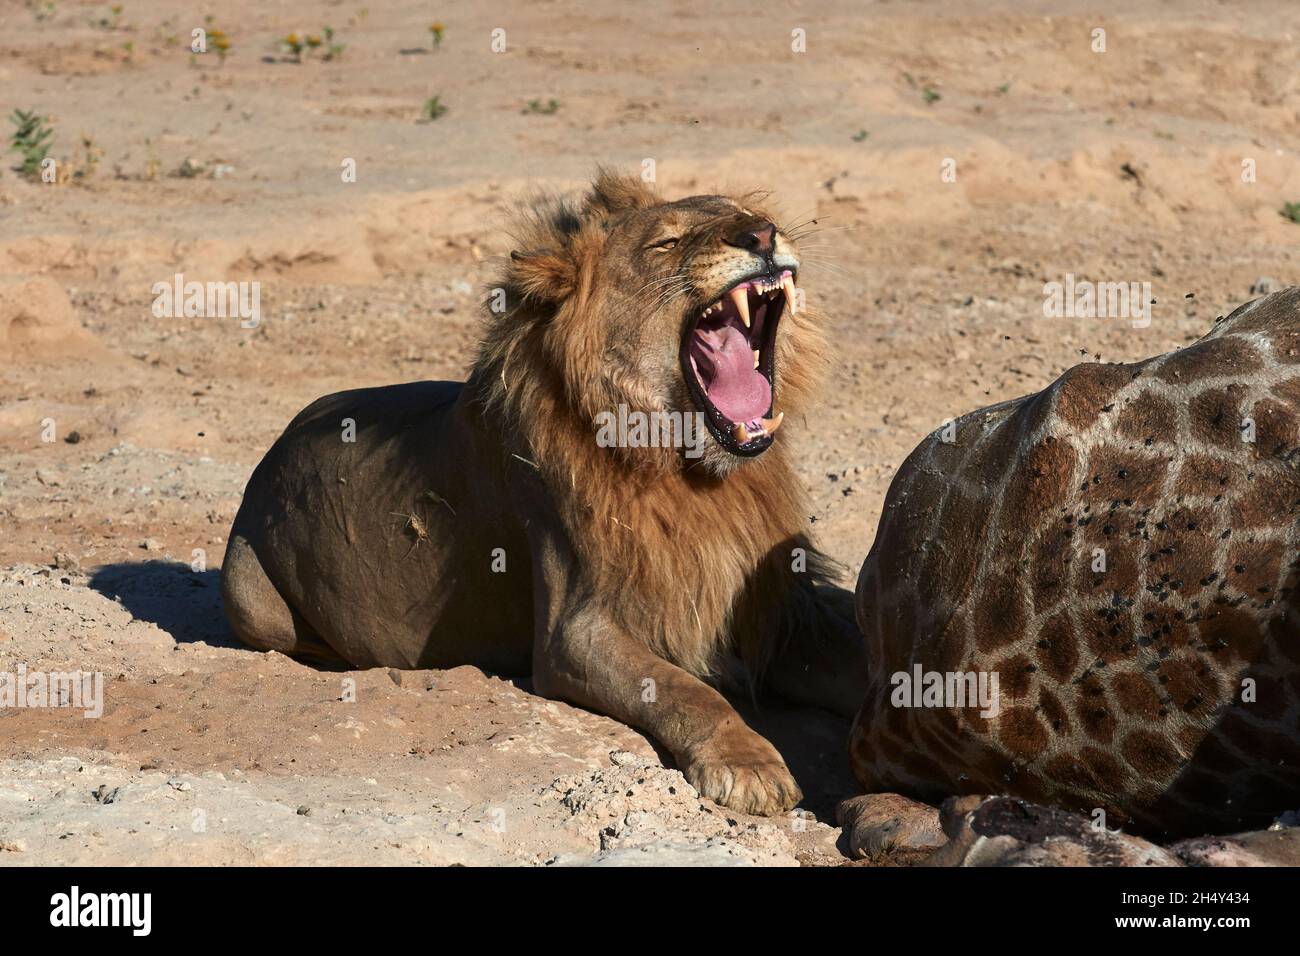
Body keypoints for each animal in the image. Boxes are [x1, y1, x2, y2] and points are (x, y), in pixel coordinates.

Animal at [220, 171, 867, 816]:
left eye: (749, 213)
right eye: (667, 242)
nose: (762, 234)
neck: (693, 476)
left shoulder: (776, 610)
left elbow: (858, 658)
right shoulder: (572, 632)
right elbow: (687, 690)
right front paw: (748, 765)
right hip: (249, 598)